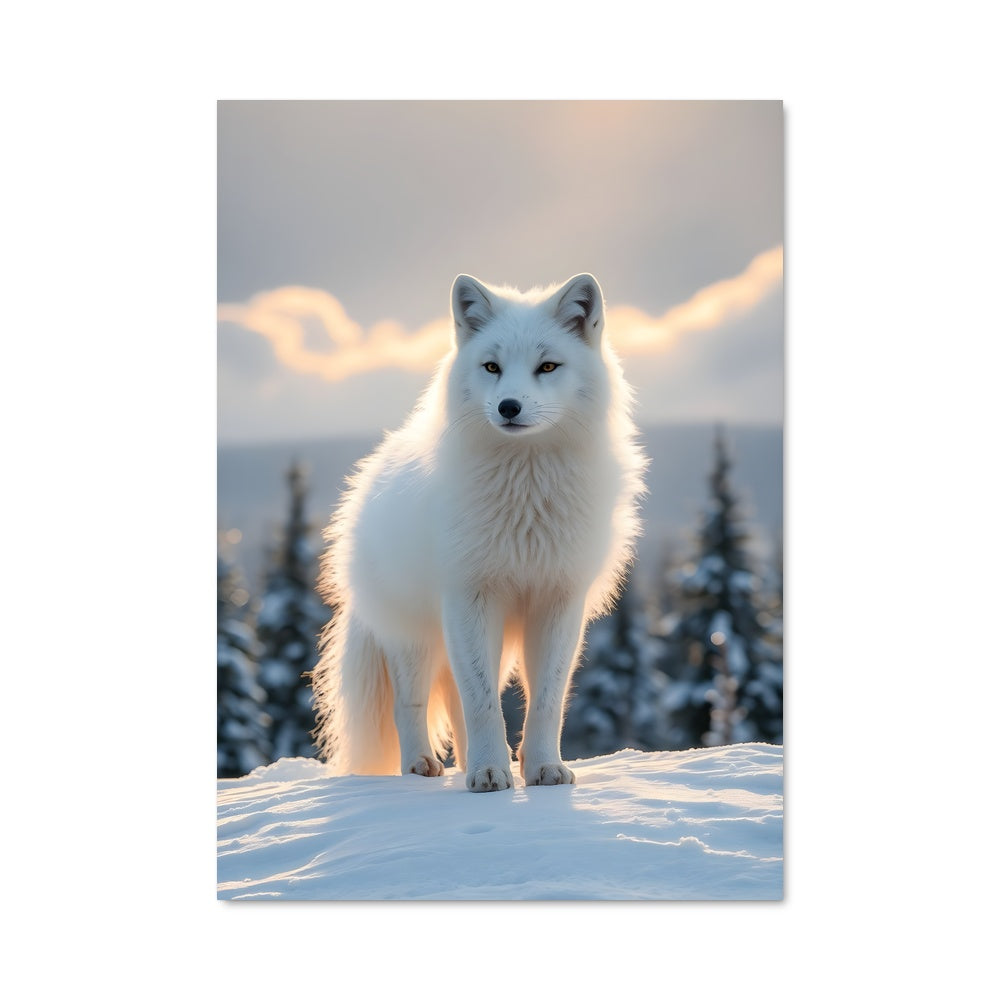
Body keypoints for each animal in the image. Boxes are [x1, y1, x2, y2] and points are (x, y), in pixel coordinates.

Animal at [313, 272, 647, 791]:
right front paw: (491, 775)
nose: (509, 406)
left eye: (547, 366)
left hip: (494, 642)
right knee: (411, 704)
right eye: (492, 367)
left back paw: (477, 761)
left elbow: (545, 702)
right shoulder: (469, 596)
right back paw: (424, 766)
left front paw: (542, 768)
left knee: (455, 699)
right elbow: (483, 705)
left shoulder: (558, 601)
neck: (526, 493)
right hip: (419, 639)